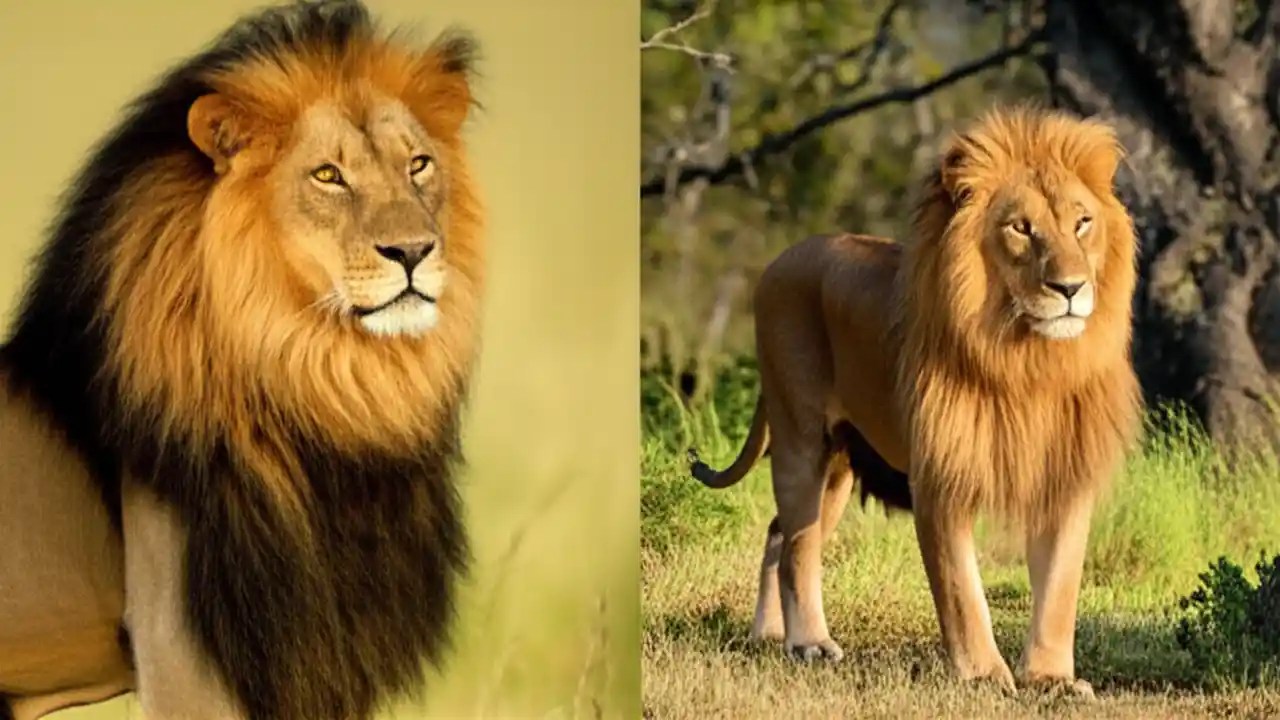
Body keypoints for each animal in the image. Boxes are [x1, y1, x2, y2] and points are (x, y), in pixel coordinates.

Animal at [690, 107, 1142, 696]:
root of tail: (782, 257)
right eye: (1021, 228)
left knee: (778, 535)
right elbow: (962, 592)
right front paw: (984, 676)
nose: (1069, 288)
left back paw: (769, 637)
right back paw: (808, 643)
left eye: (1082, 223)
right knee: (798, 548)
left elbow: (1060, 589)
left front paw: (1051, 679)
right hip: (801, 439)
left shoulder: (1065, 477)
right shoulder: (940, 478)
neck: (1029, 362)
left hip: (840, 466)